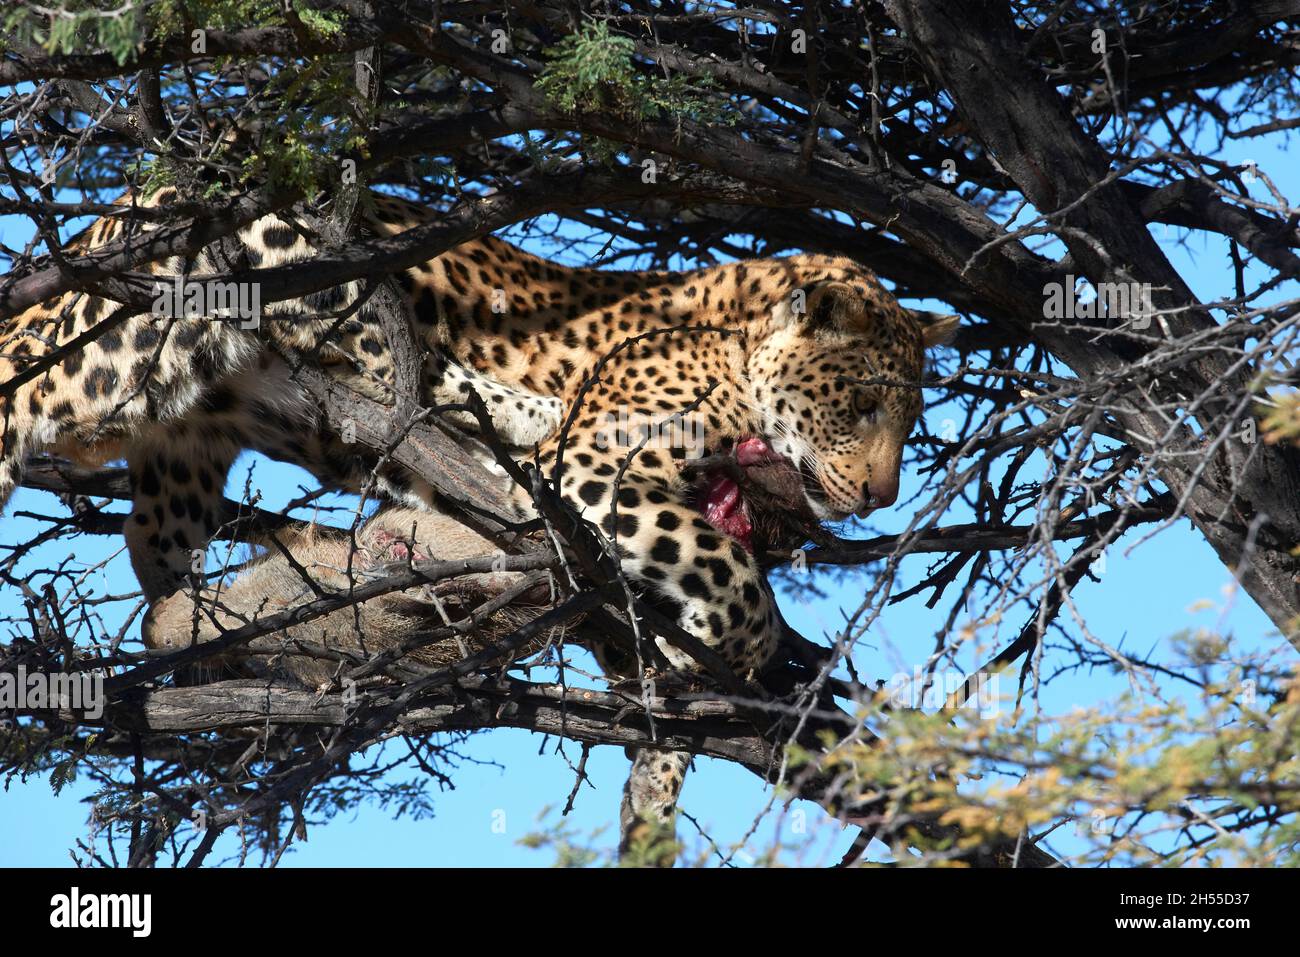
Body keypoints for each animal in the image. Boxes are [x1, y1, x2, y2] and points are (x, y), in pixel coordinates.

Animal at [0, 186, 957, 863]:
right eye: (863, 402)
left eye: (911, 419)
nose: (879, 497)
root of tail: (117, 211)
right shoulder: (603, 471)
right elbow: (723, 566)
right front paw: (740, 640)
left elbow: (653, 676)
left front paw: (650, 806)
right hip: (281, 266)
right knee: (386, 361)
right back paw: (494, 421)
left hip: (178, 447)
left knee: (152, 546)